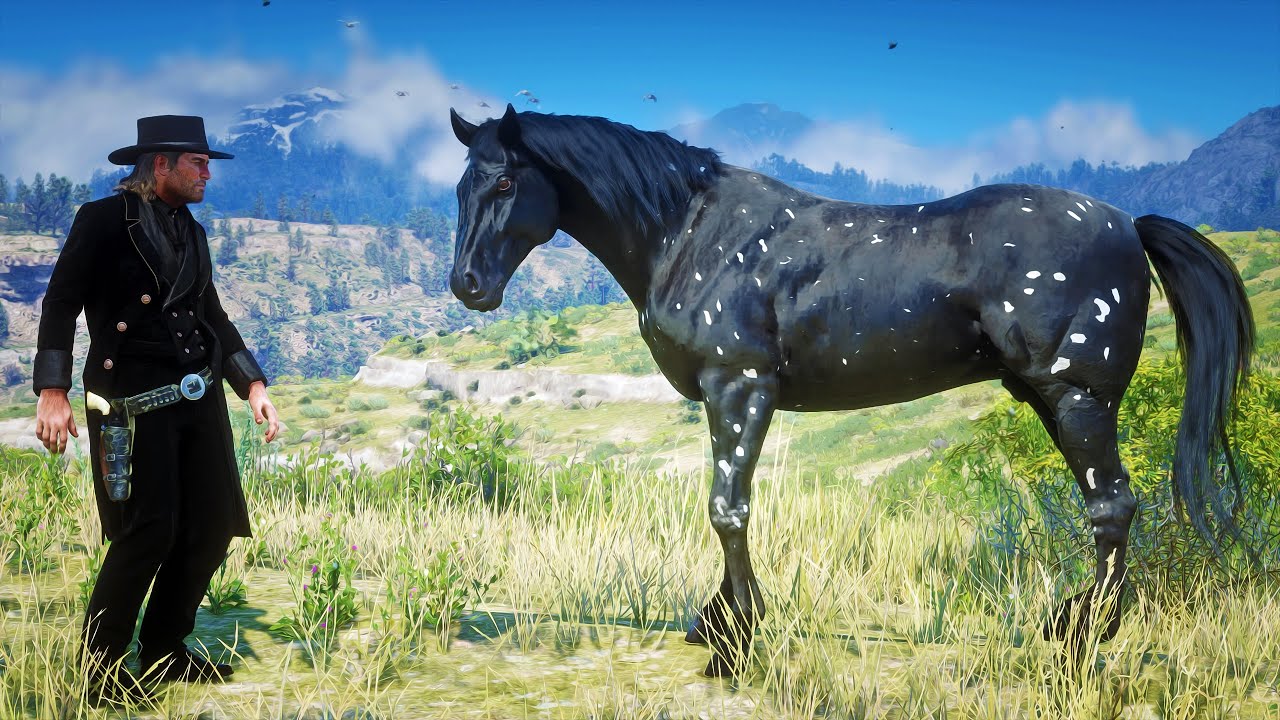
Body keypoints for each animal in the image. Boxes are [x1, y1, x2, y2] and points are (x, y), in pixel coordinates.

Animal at [446, 103, 1255, 677]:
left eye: (507, 180)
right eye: (460, 186)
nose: (467, 285)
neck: (691, 228)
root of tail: (1127, 223)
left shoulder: (739, 386)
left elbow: (727, 508)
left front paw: (736, 639)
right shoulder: (729, 395)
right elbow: (726, 506)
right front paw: (719, 619)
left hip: (1078, 396)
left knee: (1112, 508)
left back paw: (1084, 635)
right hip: (1055, 399)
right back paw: (1070, 621)